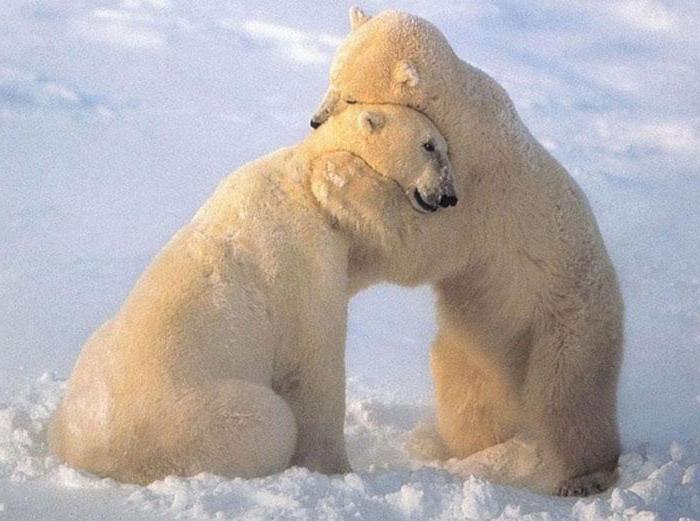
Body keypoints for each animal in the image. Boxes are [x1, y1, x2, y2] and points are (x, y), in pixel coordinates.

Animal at [46, 103, 456, 486]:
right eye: (428, 145)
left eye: (442, 146)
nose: (448, 196)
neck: (301, 176)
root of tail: (95, 456)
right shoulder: (305, 260)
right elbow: (313, 364)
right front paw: (336, 469)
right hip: (200, 418)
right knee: (271, 422)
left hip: (96, 354)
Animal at [312, 9, 624, 496]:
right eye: (332, 78)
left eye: (350, 95)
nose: (314, 121)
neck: (461, 114)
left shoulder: (474, 195)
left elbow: (418, 246)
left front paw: (337, 176)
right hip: (477, 341)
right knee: (468, 395)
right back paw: (452, 449)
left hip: (568, 326)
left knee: (567, 401)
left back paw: (583, 477)